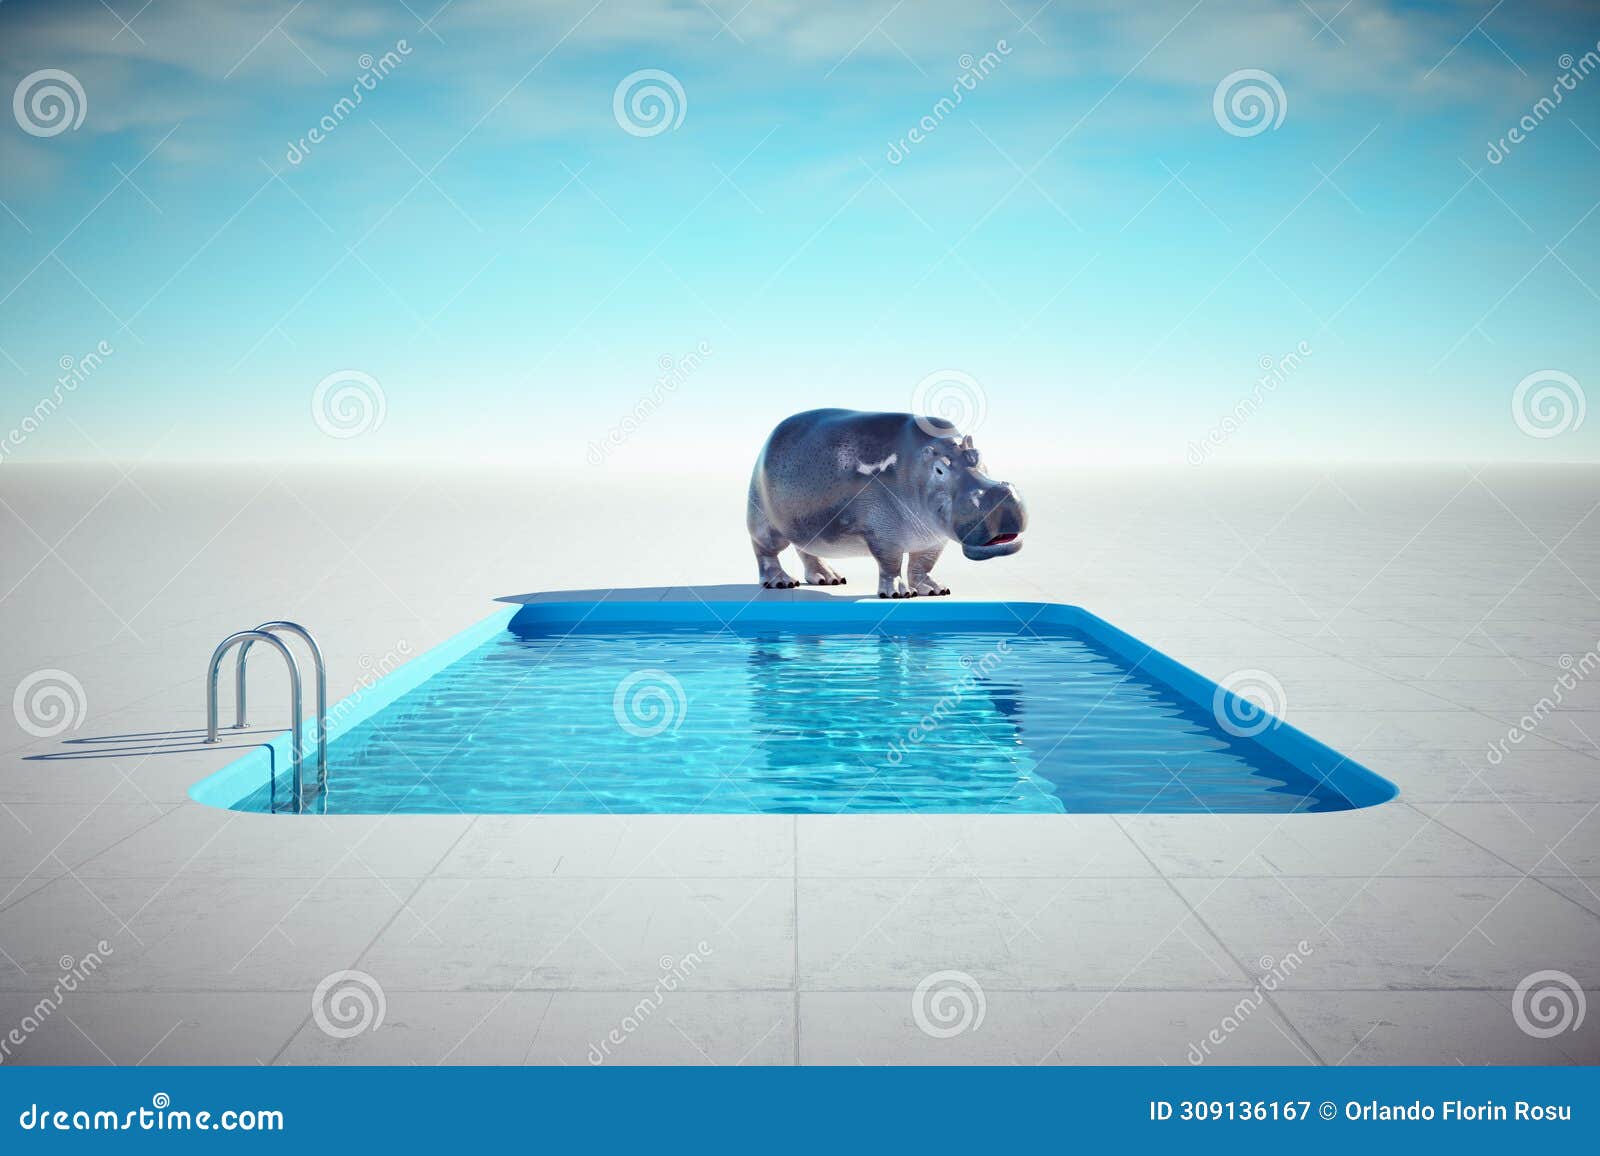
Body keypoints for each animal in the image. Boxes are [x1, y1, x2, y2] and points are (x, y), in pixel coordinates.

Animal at [746, 408, 1027, 598]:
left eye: (977, 455)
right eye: (939, 470)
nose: (1000, 493)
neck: (914, 466)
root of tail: (771, 436)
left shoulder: (933, 539)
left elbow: (923, 564)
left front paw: (934, 589)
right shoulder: (885, 533)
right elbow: (891, 563)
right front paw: (898, 593)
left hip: (805, 524)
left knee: (806, 549)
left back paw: (829, 578)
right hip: (765, 522)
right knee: (765, 551)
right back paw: (781, 582)